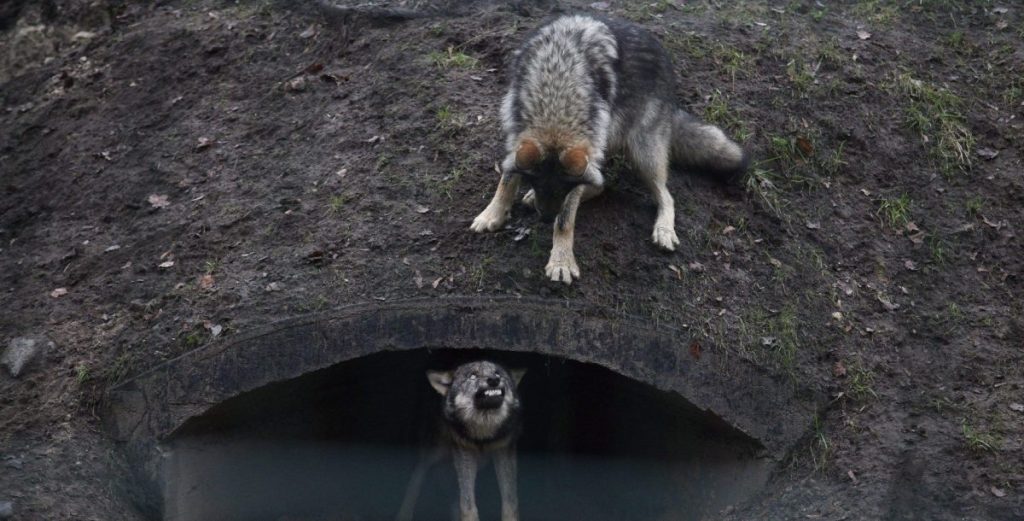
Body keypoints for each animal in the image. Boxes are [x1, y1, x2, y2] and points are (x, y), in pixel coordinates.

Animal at [396, 361, 526, 521]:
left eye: (497, 373)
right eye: (472, 376)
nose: (494, 380)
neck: (483, 436)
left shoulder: (504, 452)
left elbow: (510, 503)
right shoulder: (464, 454)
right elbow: (467, 504)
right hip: (432, 455)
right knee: (416, 478)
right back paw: (404, 514)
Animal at [470, 14, 748, 284]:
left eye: (562, 189)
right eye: (537, 183)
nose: (546, 218)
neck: (557, 90)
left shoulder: (579, 167)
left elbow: (566, 220)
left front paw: (561, 262)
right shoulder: (515, 138)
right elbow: (506, 181)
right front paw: (491, 214)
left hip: (641, 154)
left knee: (663, 195)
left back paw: (664, 230)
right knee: (602, 185)